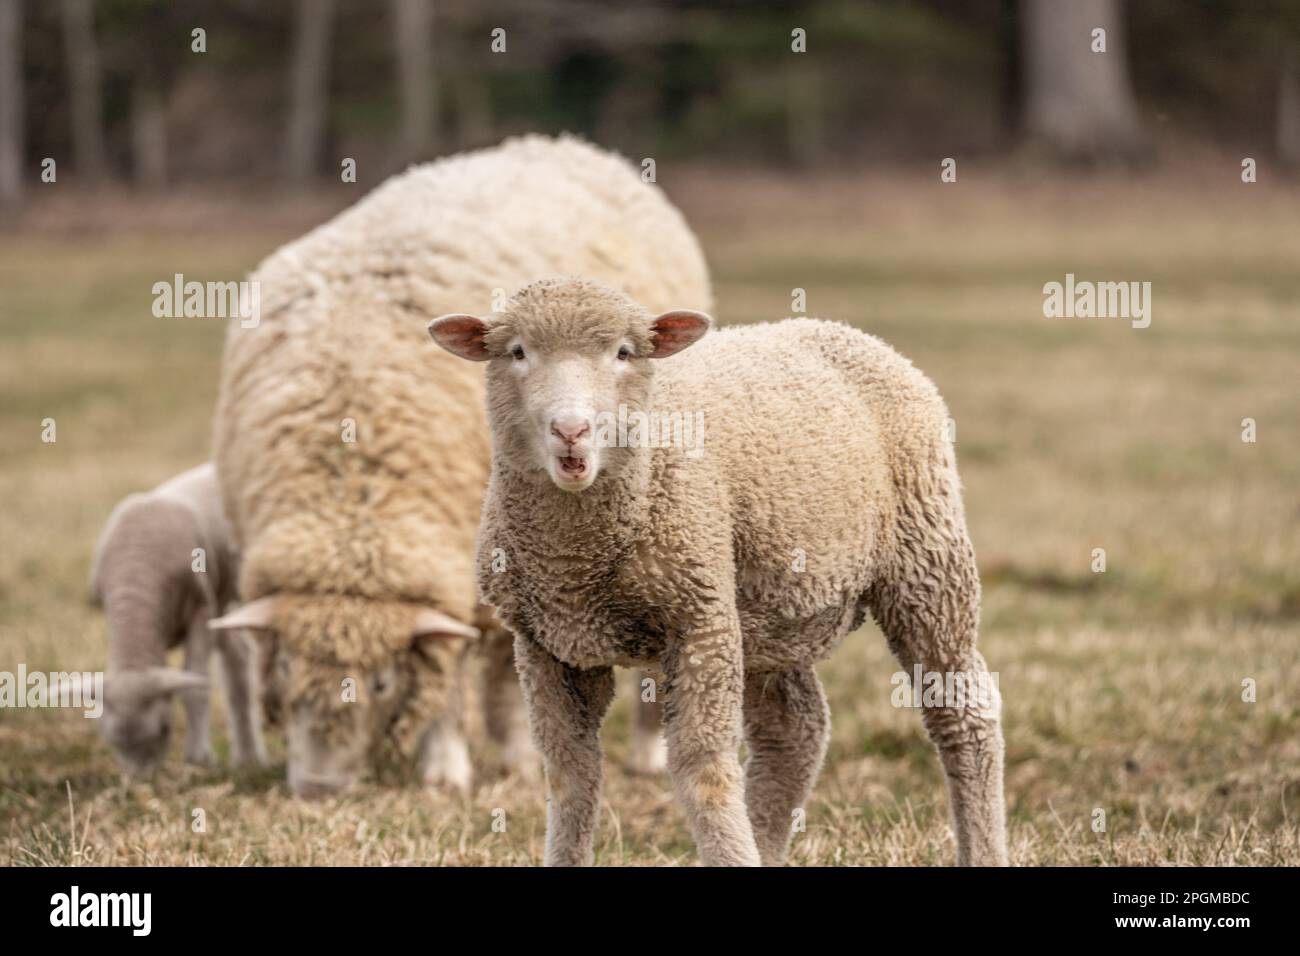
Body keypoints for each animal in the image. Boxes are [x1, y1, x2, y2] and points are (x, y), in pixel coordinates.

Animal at [91, 463, 266, 774]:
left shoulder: (201, 609)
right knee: (239, 658)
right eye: (108, 737)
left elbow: (196, 687)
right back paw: (247, 758)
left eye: (164, 728)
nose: (141, 780)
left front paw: (199, 758)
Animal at [209, 135, 706, 797]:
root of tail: (559, 143)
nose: (318, 789)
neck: (351, 489)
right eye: (286, 669)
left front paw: (449, 767)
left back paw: (626, 754)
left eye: (382, 682)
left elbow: (454, 681)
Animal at [427, 277, 1008, 867]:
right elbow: (571, 776)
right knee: (794, 732)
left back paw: (983, 845)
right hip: (767, 614)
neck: (577, 563)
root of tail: (844, 331)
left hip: (927, 558)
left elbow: (702, 769)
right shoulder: (546, 644)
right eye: (517, 352)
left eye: (624, 353)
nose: (571, 430)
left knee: (963, 715)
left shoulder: (699, 618)